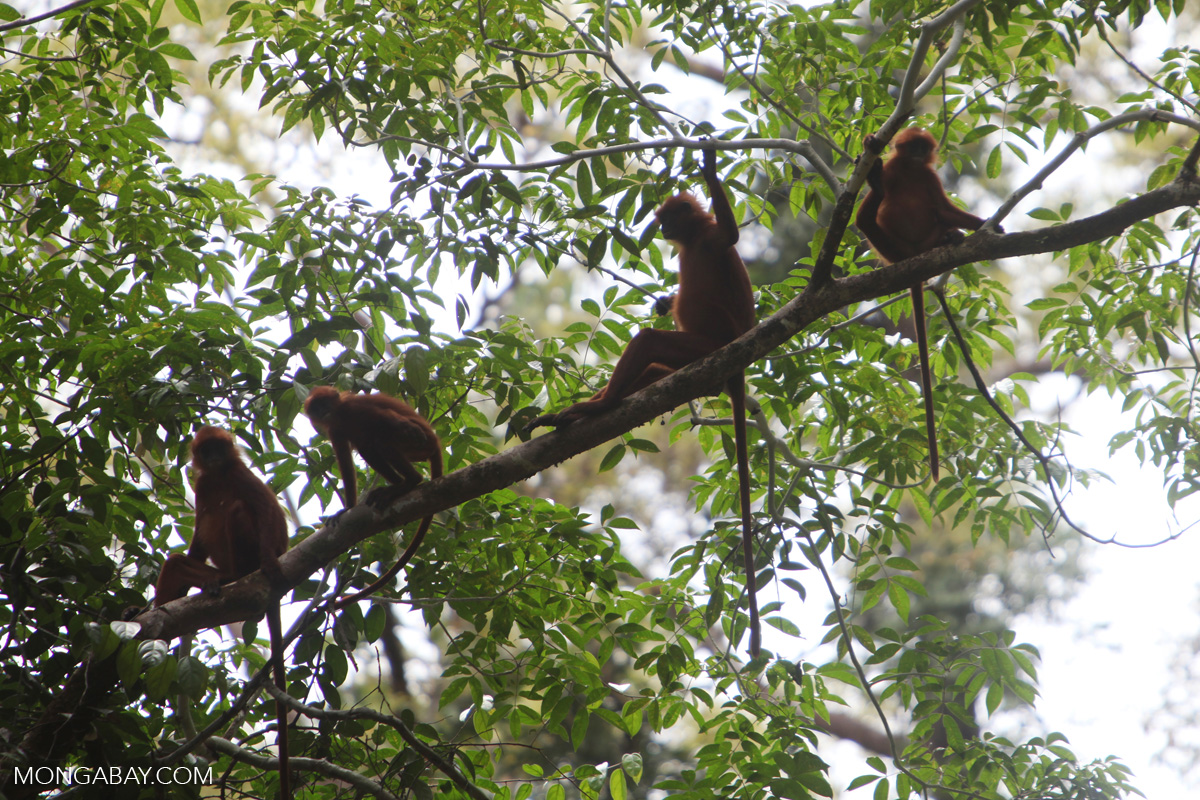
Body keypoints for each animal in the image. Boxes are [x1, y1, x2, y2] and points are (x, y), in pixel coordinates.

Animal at [154, 426, 291, 799]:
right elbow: (197, 541)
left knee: (239, 509)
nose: (215, 457)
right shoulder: (204, 484)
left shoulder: (239, 474)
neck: (218, 474)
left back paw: (240, 574)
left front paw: (272, 565)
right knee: (176, 563)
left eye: (219, 447)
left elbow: (265, 509)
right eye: (207, 450)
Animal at [303, 386, 443, 610]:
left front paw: (406, 426)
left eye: (324, 404)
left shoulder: (354, 406)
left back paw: (411, 480)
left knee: (381, 435)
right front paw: (346, 508)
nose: (323, 411)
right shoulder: (335, 429)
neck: (341, 415)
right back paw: (397, 486)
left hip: (420, 445)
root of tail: (435, 442)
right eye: (316, 408)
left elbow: (384, 416)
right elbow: (346, 465)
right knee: (368, 446)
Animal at [526, 147, 762, 657]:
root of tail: (736, 358)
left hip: (709, 344)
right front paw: (663, 299)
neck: (692, 242)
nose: (662, 229)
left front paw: (709, 165)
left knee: (651, 342)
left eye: (670, 217)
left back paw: (596, 407)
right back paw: (578, 411)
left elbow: (732, 235)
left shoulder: (712, 239)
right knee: (653, 367)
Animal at [855, 128, 995, 482]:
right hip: (892, 248)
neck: (910, 171)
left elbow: (944, 209)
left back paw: (949, 238)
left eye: (923, 147)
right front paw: (872, 167)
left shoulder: (928, 176)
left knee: (941, 220)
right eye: (912, 147)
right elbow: (864, 215)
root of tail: (913, 257)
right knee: (868, 219)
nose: (919, 153)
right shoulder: (895, 169)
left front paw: (985, 224)